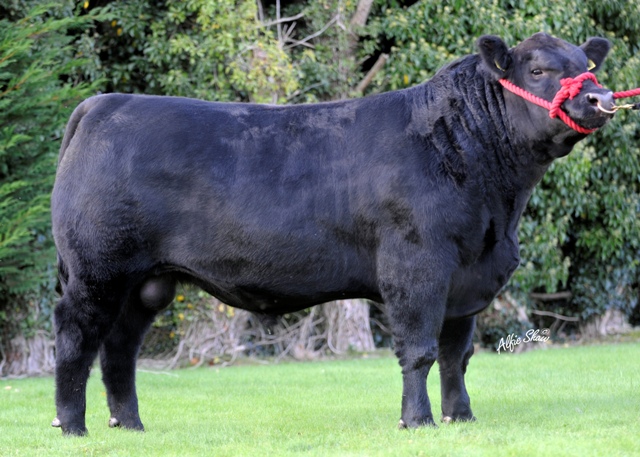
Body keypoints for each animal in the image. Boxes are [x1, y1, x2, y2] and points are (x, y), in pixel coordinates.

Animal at [50, 32, 615, 436]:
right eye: (538, 71)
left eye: (589, 68)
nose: (599, 97)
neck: (498, 209)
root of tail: (106, 103)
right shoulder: (417, 265)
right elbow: (420, 349)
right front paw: (417, 421)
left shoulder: (467, 275)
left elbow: (457, 355)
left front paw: (461, 417)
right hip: (97, 269)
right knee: (76, 336)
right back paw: (72, 426)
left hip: (147, 282)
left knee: (119, 347)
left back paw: (129, 425)